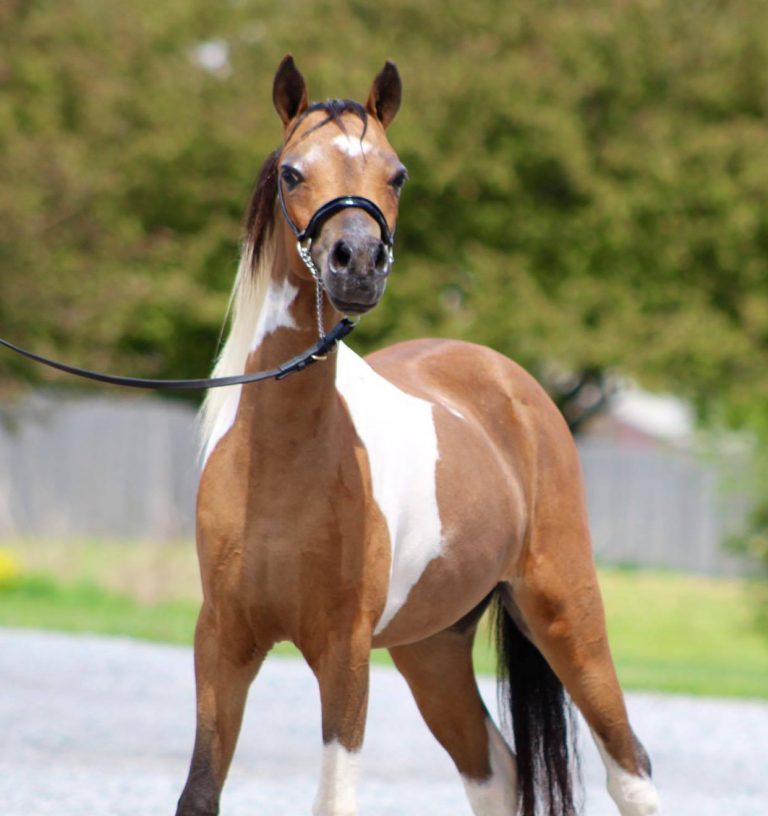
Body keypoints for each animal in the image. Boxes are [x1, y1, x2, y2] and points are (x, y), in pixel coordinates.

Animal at [176, 55, 661, 816]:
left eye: (397, 173)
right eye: (292, 172)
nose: (357, 260)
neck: (281, 462)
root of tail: (508, 380)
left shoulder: (342, 653)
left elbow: (333, 800)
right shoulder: (221, 644)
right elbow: (199, 793)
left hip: (565, 613)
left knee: (629, 769)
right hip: (432, 649)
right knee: (496, 774)